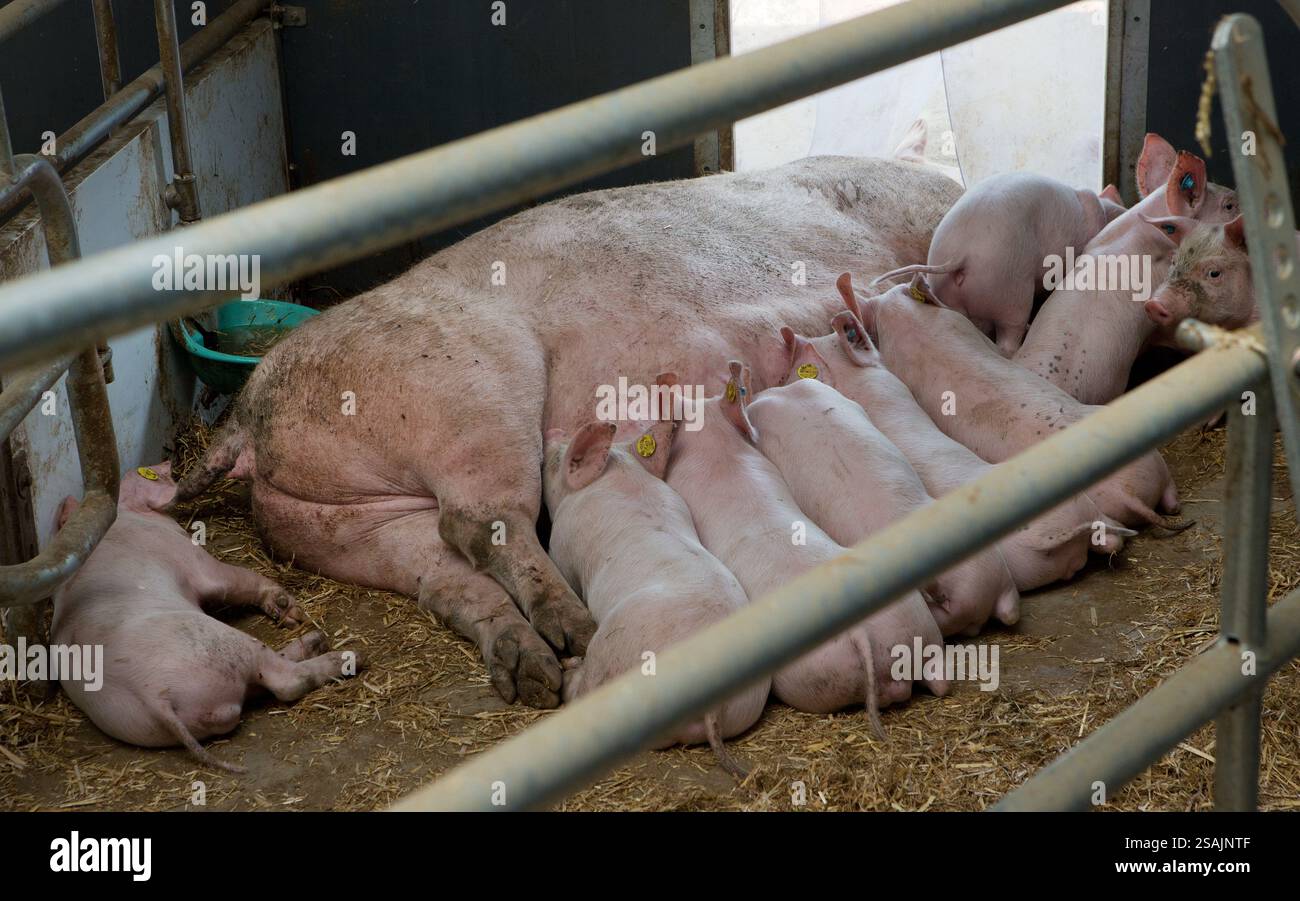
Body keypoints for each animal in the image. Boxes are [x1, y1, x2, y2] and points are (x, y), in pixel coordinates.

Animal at [51, 464, 362, 772]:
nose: (169, 468)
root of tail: (154, 695)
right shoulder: (192, 559)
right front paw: (291, 612)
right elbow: (236, 580)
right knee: (286, 681)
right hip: (223, 643)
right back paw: (346, 654)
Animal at [542, 418, 767, 775]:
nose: (550, 430)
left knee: (585, 691)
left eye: (554, 460)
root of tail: (711, 699)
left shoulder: (562, 550)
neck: (620, 476)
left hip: (614, 646)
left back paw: (568, 668)